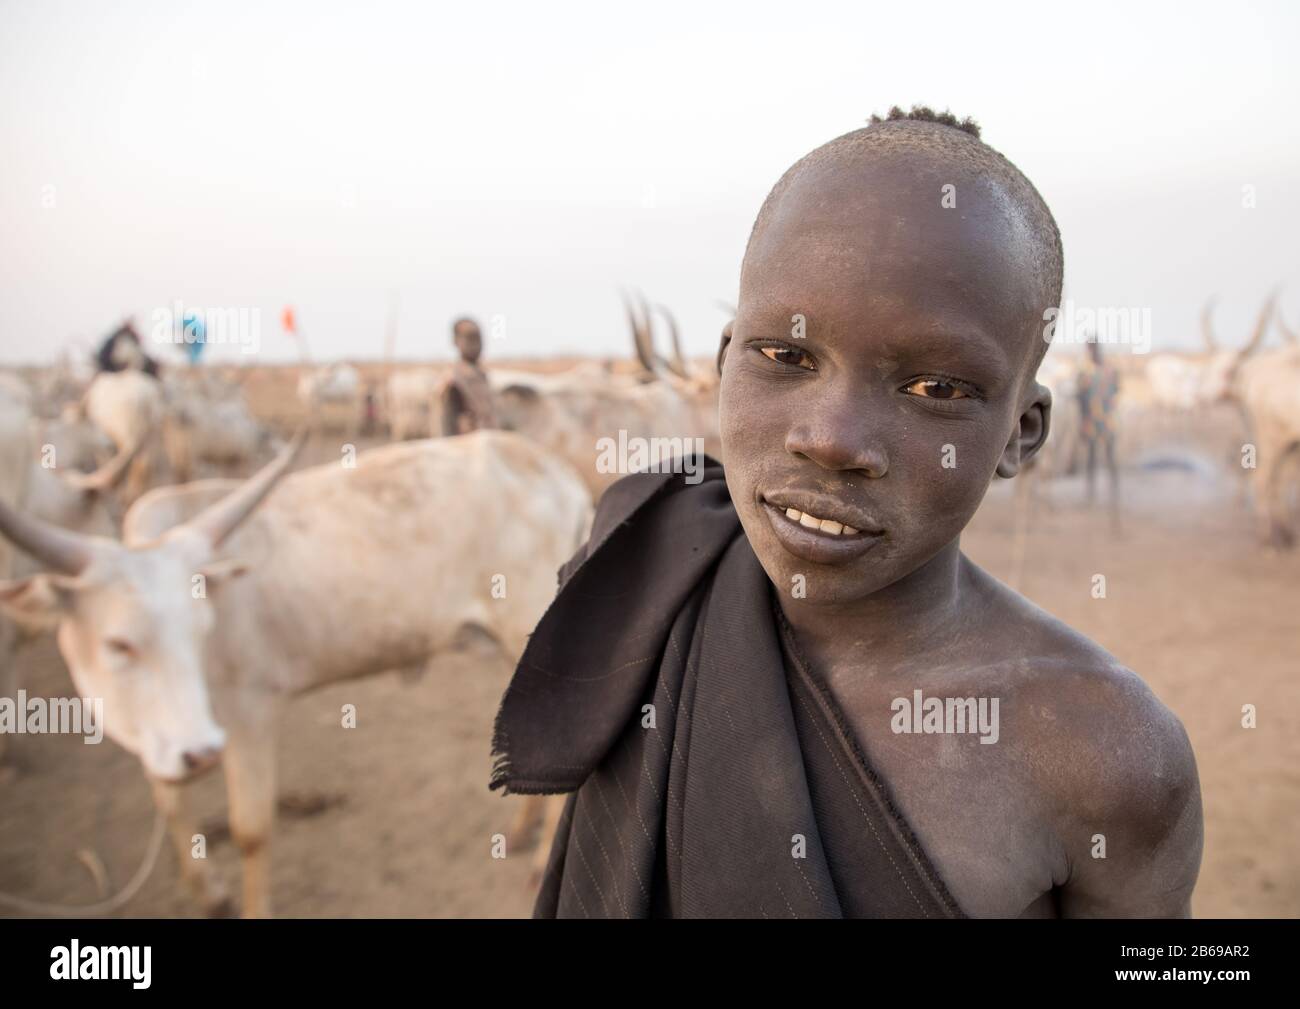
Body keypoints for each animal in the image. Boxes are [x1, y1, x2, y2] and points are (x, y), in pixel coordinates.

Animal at [0, 429, 592, 916]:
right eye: (119, 643)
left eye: (201, 627)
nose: (200, 753)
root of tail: (560, 476)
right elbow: (169, 805)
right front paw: (208, 891)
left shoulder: (250, 714)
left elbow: (251, 830)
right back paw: (520, 830)